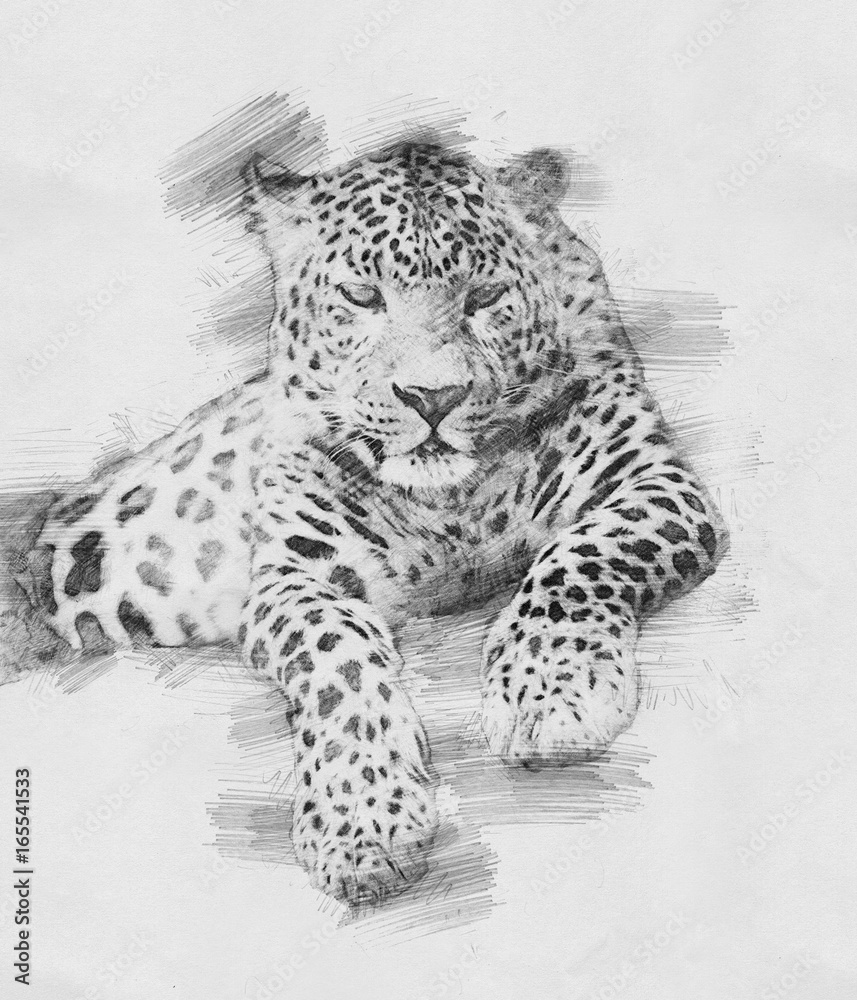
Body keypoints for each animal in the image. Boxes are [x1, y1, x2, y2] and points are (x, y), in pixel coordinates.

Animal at [2, 138, 728, 906]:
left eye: (484, 298)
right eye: (361, 297)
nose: (432, 397)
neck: (451, 508)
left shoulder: (654, 479)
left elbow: (576, 558)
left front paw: (549, 696)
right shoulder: (296, 575)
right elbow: (337, 651)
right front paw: (363, 823)